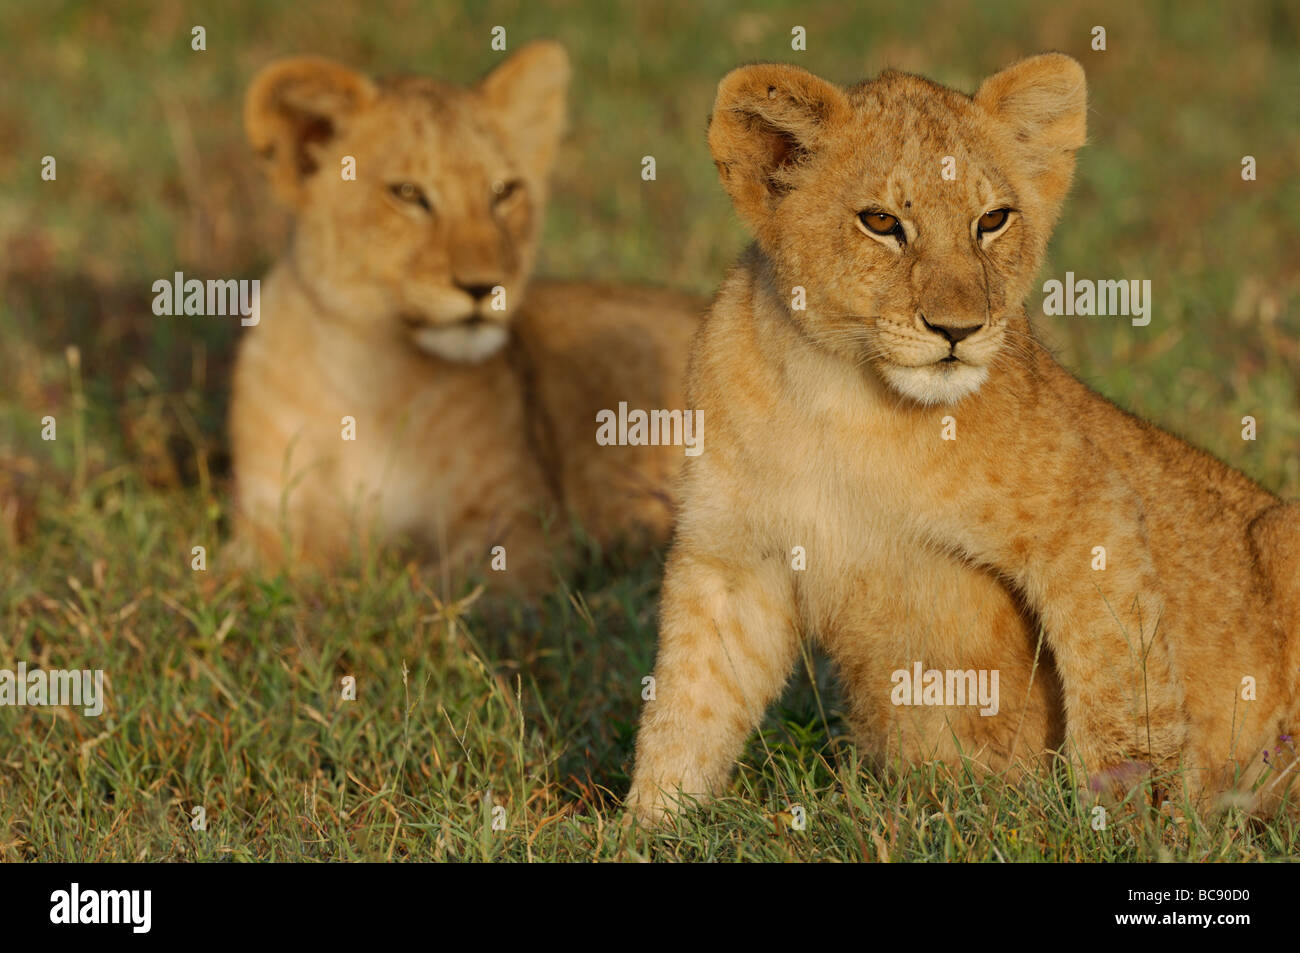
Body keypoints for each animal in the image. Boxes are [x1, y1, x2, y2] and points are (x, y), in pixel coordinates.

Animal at [230, 42, 702, 595]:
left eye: (503, 191)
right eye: (407, 194)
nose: (484, 287)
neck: (369, 375)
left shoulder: (527, 531)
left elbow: (425, 587)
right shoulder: (266, 520)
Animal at [627, 53, 1299, 822]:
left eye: (993, 220)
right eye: (881, 222)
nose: (959, 328)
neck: (844, 399)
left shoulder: (1090, 512)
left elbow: (1118, 676)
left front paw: (1128, 817)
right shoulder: (735, 555)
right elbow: (689, 701)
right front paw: (647, 824)